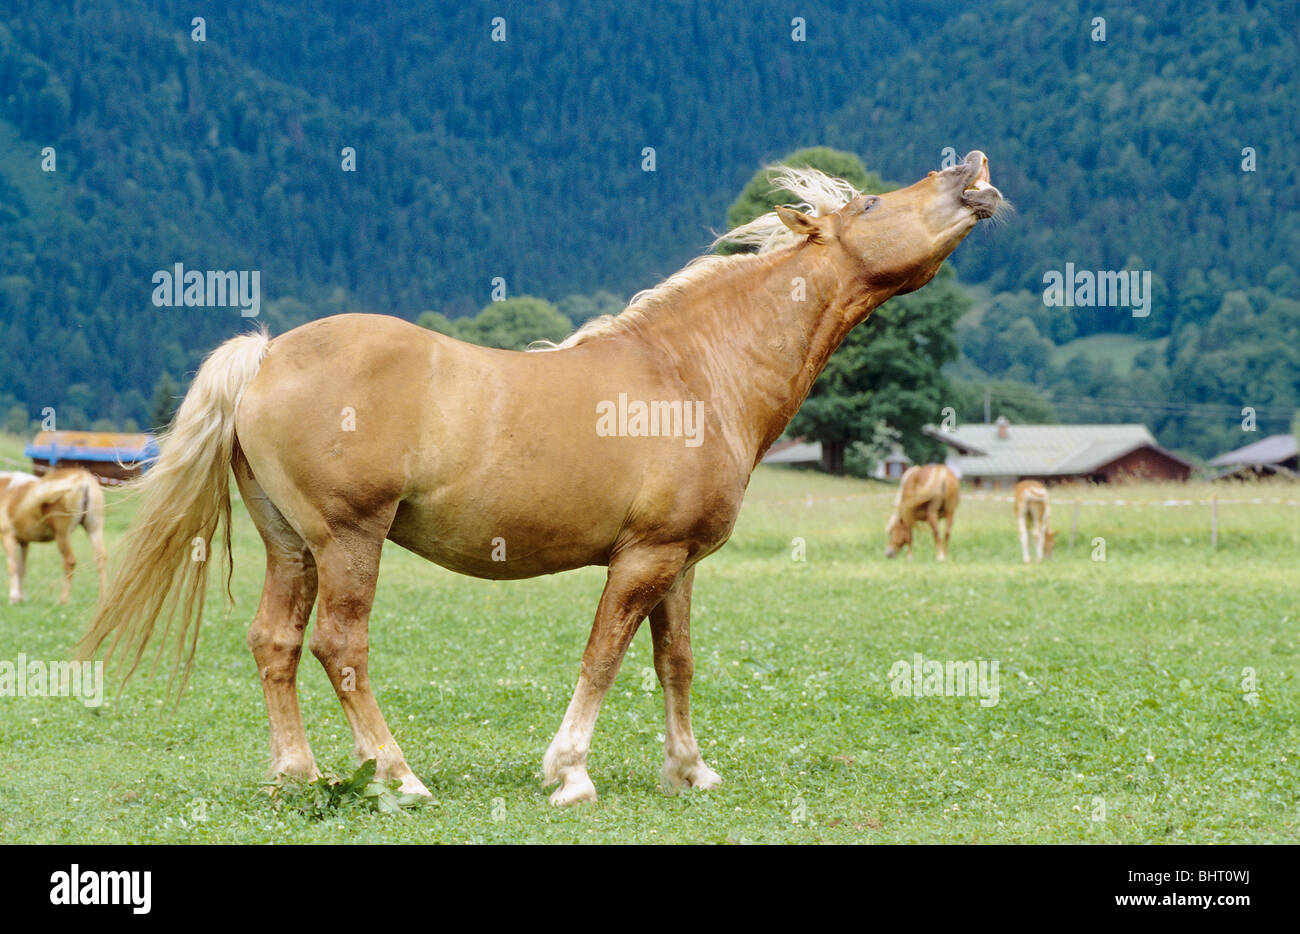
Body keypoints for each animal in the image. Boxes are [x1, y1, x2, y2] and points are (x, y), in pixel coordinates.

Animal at [1, 468, 107, 605]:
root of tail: (82, 477)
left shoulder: (7, 536)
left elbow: (12, 567)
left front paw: (13, 598)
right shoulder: (23, 542)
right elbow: (21, 570)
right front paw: (20, 599)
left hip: (62, 535)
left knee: (69, 562)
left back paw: (63, 600)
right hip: (94, 530)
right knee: (101, 559)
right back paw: (103, 598)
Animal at [79, 152, 1003, 805]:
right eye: (872, 205)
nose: (974, 171)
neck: (693, 372)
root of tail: (267, 356)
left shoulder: (678, 564)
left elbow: (675, 663)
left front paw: (689, 771)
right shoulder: (641, 560)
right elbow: (602, 658)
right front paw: (570, 773)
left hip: (291, 545)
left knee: (273, 642)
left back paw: (300, 776)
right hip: (348, 541)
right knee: (341, 647)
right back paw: (399, 777)